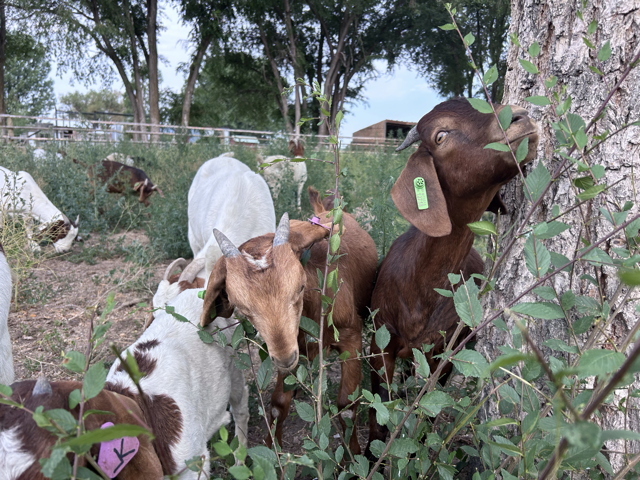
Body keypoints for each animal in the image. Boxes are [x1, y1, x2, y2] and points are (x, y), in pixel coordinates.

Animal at [200, 187, 378, 453]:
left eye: (301, 286)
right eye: (242, 307)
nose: (285, 357)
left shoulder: (351, 338)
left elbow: (346, 405)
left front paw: (353, 455)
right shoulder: (294, 350)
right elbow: (278, 403)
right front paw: (272, 448)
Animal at [364, 98, 539, 457]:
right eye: (441, 135)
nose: (522, 117)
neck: (418, 287)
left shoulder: (444, 354)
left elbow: (426, 415)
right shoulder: (380, 343)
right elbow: (379, 414)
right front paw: (370, 456)